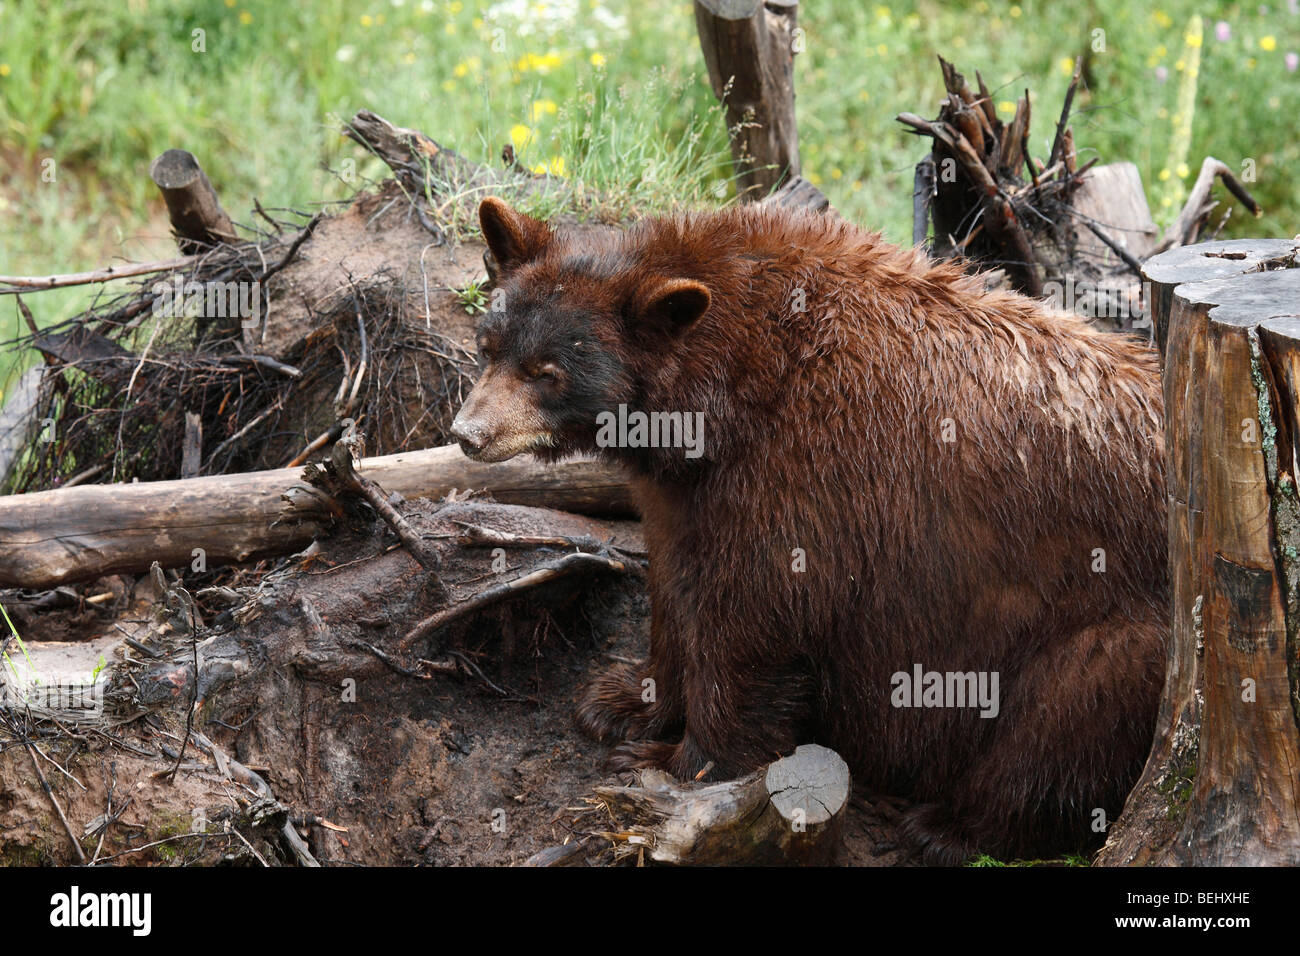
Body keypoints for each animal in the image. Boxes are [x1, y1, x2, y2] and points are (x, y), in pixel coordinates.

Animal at [451, 196, 1169, 864]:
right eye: (490, 346)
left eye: (548, 373)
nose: (467, 433)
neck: (729, 383)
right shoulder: (689, 490)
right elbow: (676, 581)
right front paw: (621, 700)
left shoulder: (812, 469)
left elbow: (755, 616)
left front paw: (680, 766)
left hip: (1111, 621)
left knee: (1064, 725)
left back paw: (950, 828)